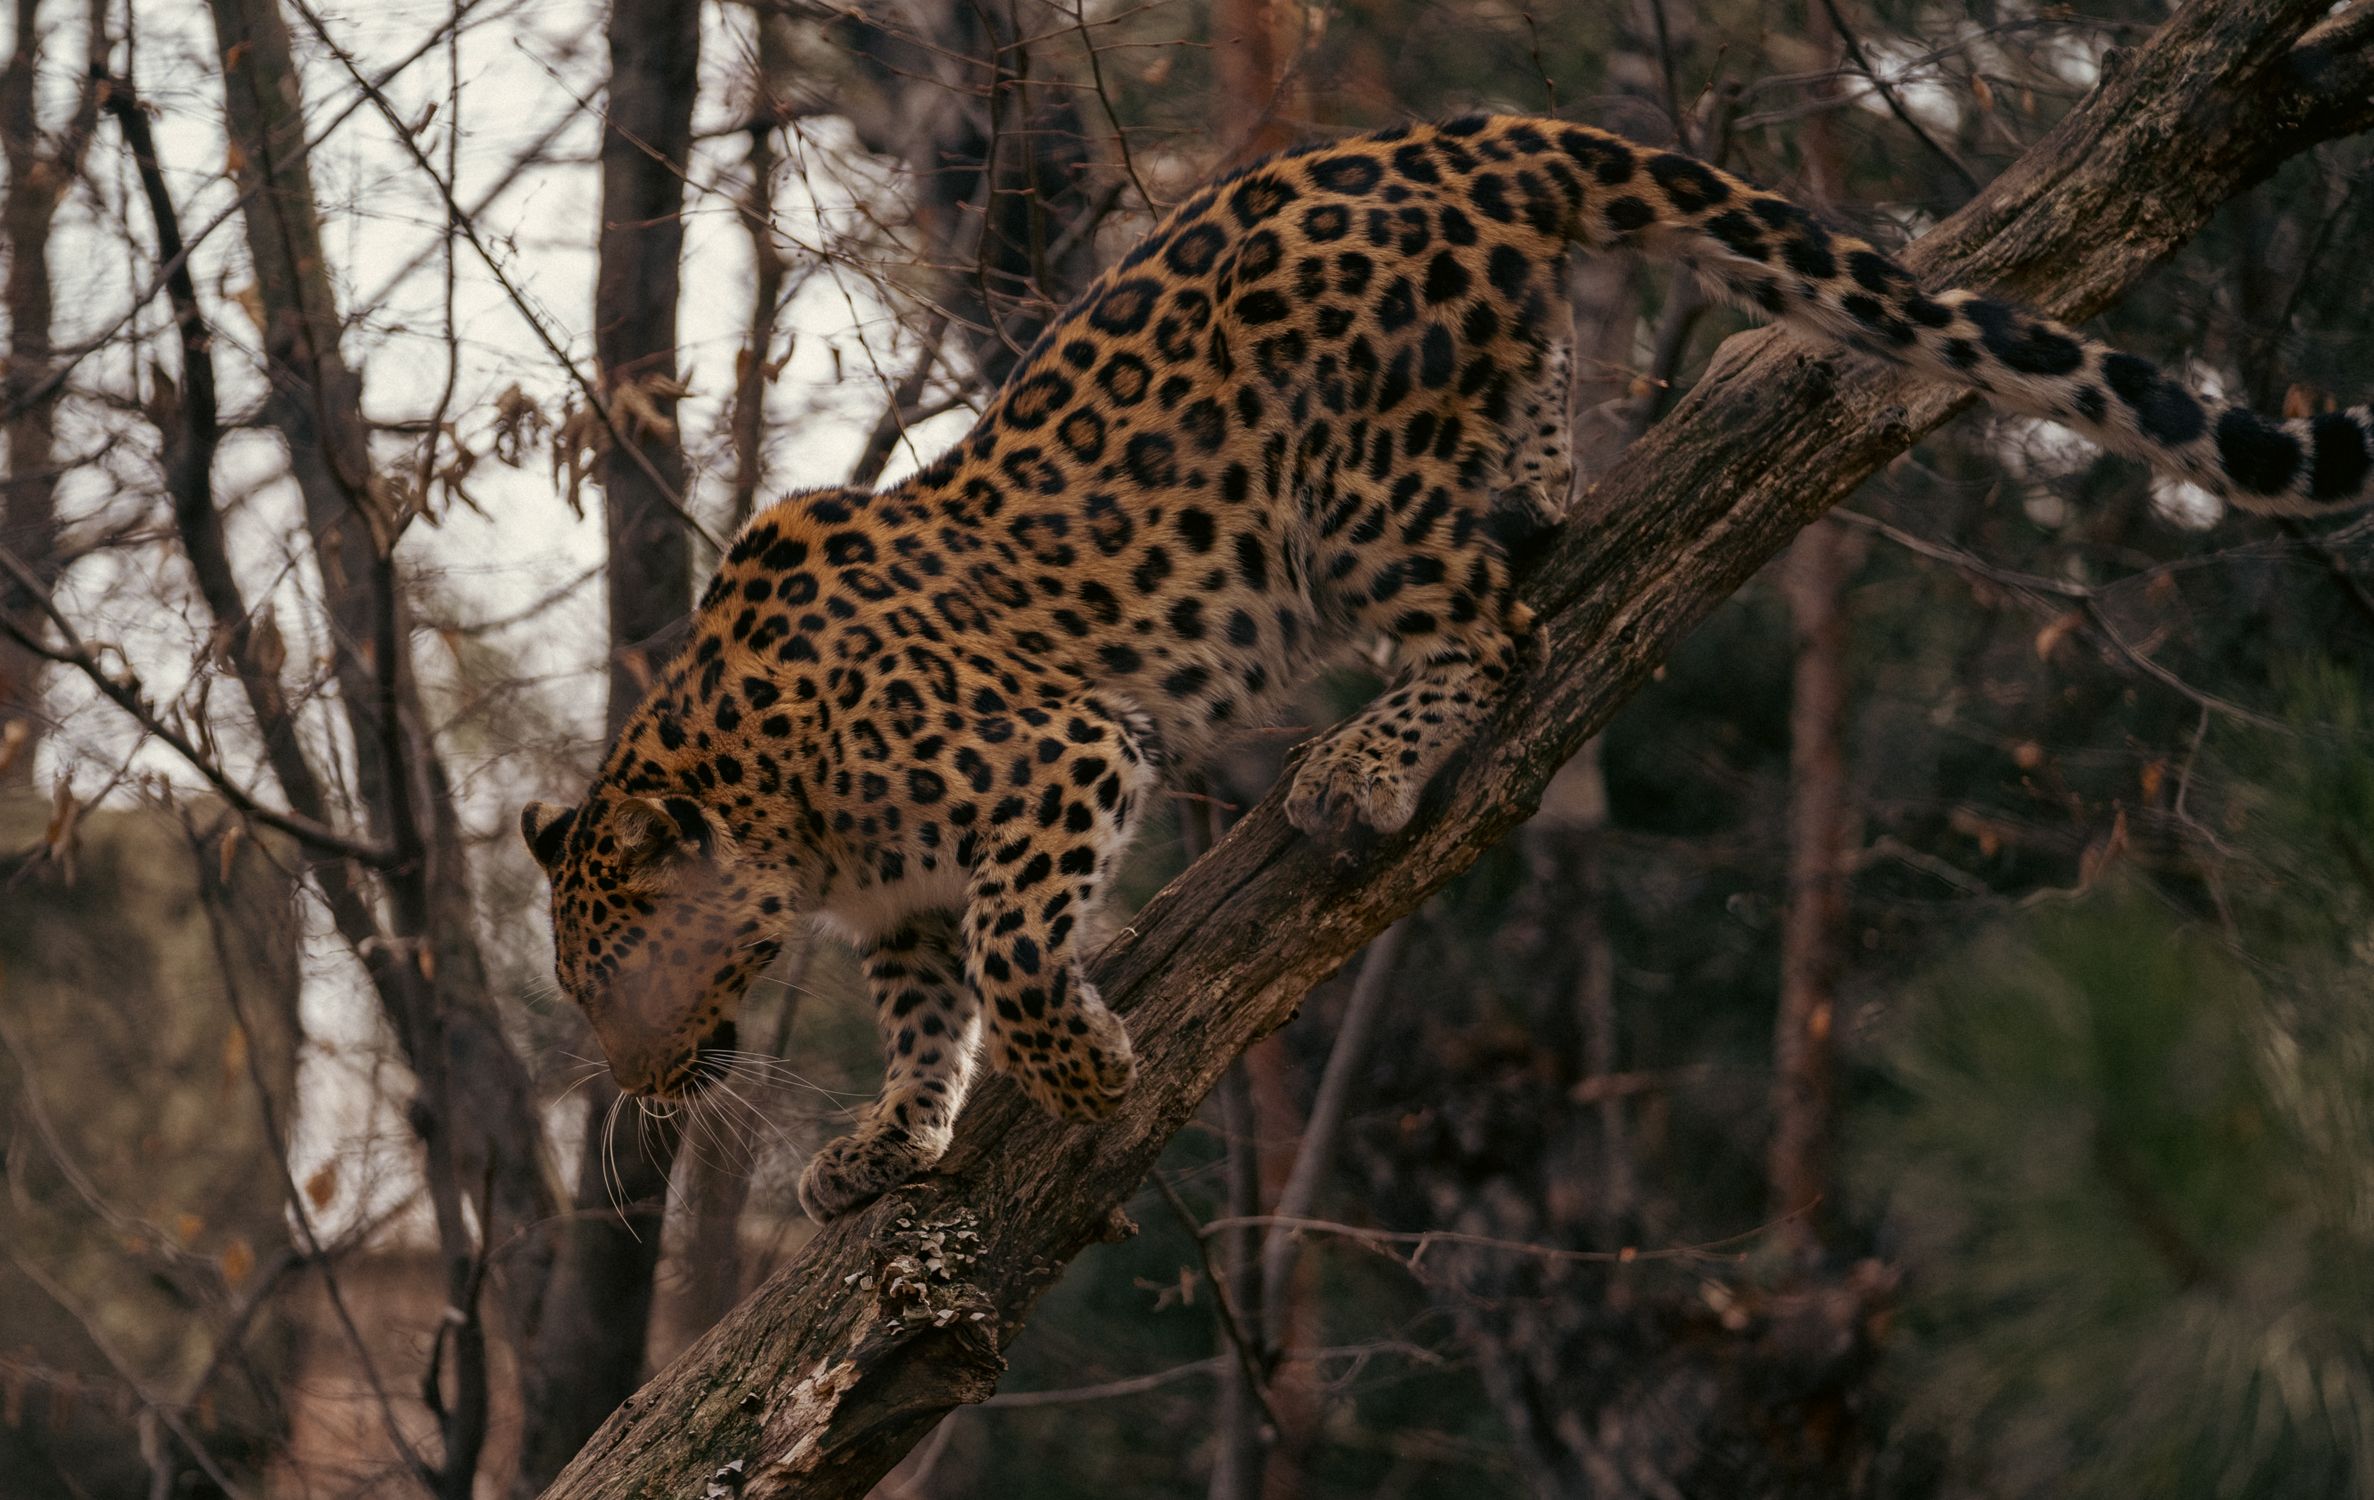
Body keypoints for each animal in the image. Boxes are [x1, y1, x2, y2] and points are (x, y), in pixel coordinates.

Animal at [521, 113, 2373, 1222]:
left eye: (627, 982)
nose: (635, 1084)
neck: (764, 794)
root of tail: (1446, 132)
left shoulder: (1065, 752)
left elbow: (1015, 953)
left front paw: (1082, 1070)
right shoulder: (898, 906)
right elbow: (926, 1013)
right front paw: (889, 1140)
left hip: (1350, 493)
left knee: (1495, 629)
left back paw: (1359, 766)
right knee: (1531, 487)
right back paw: (1535, 496)